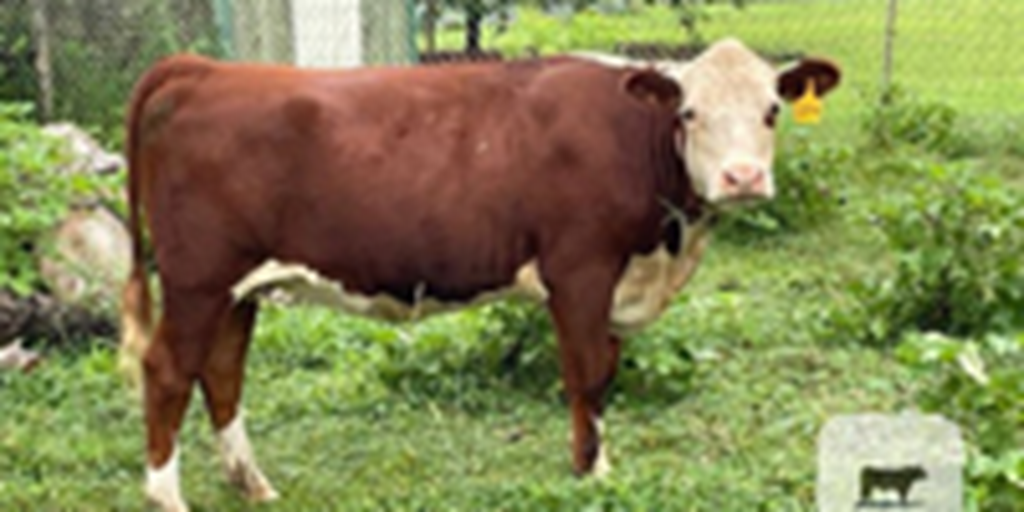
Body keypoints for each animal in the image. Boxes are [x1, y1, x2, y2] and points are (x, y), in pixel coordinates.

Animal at [119, 38, 840, 511]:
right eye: (689, 112)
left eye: (773, 111)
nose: (743, 178)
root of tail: (204, 69)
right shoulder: (579, 269)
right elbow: (588, 374)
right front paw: (593, 471)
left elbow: (605, 371)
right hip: (198, 280)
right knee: (168, 370)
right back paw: (166, 496)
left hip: (237, 290)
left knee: (222, 372)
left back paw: (252, 484)